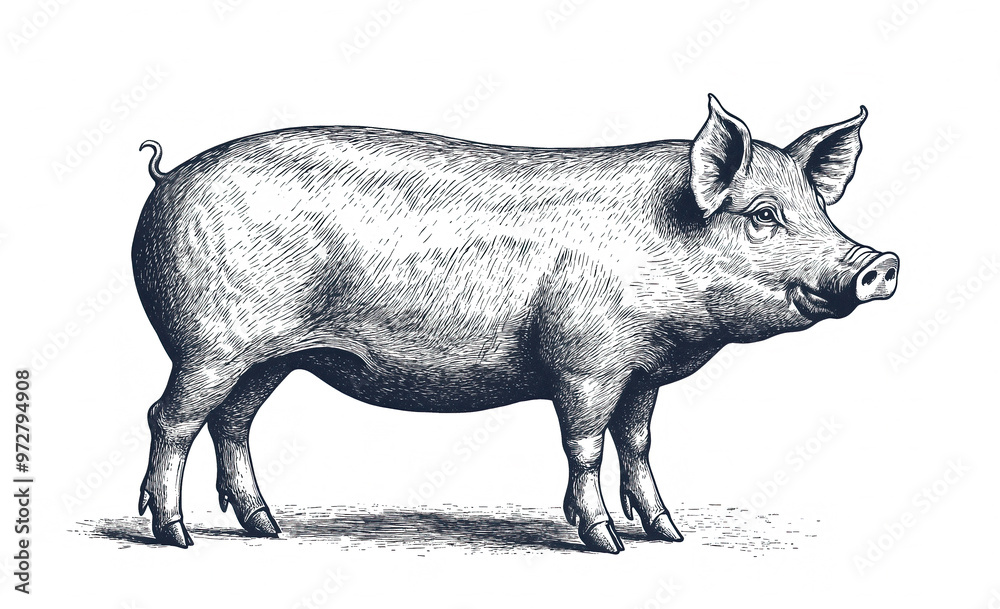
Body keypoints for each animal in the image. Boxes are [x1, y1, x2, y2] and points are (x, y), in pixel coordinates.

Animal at [133, 94, 898, 553]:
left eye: (819, 208)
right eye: (764, 214)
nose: (880, 261)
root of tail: (166, 179)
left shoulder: (643, 371)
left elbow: (639, 443)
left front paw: (670, 534)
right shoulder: (586, 362)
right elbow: (586, 445)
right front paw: (606, 543)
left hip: (270, 357)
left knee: (233, 423)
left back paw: (268, 528)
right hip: (208, 343)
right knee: (170, 418)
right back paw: (176, 536)